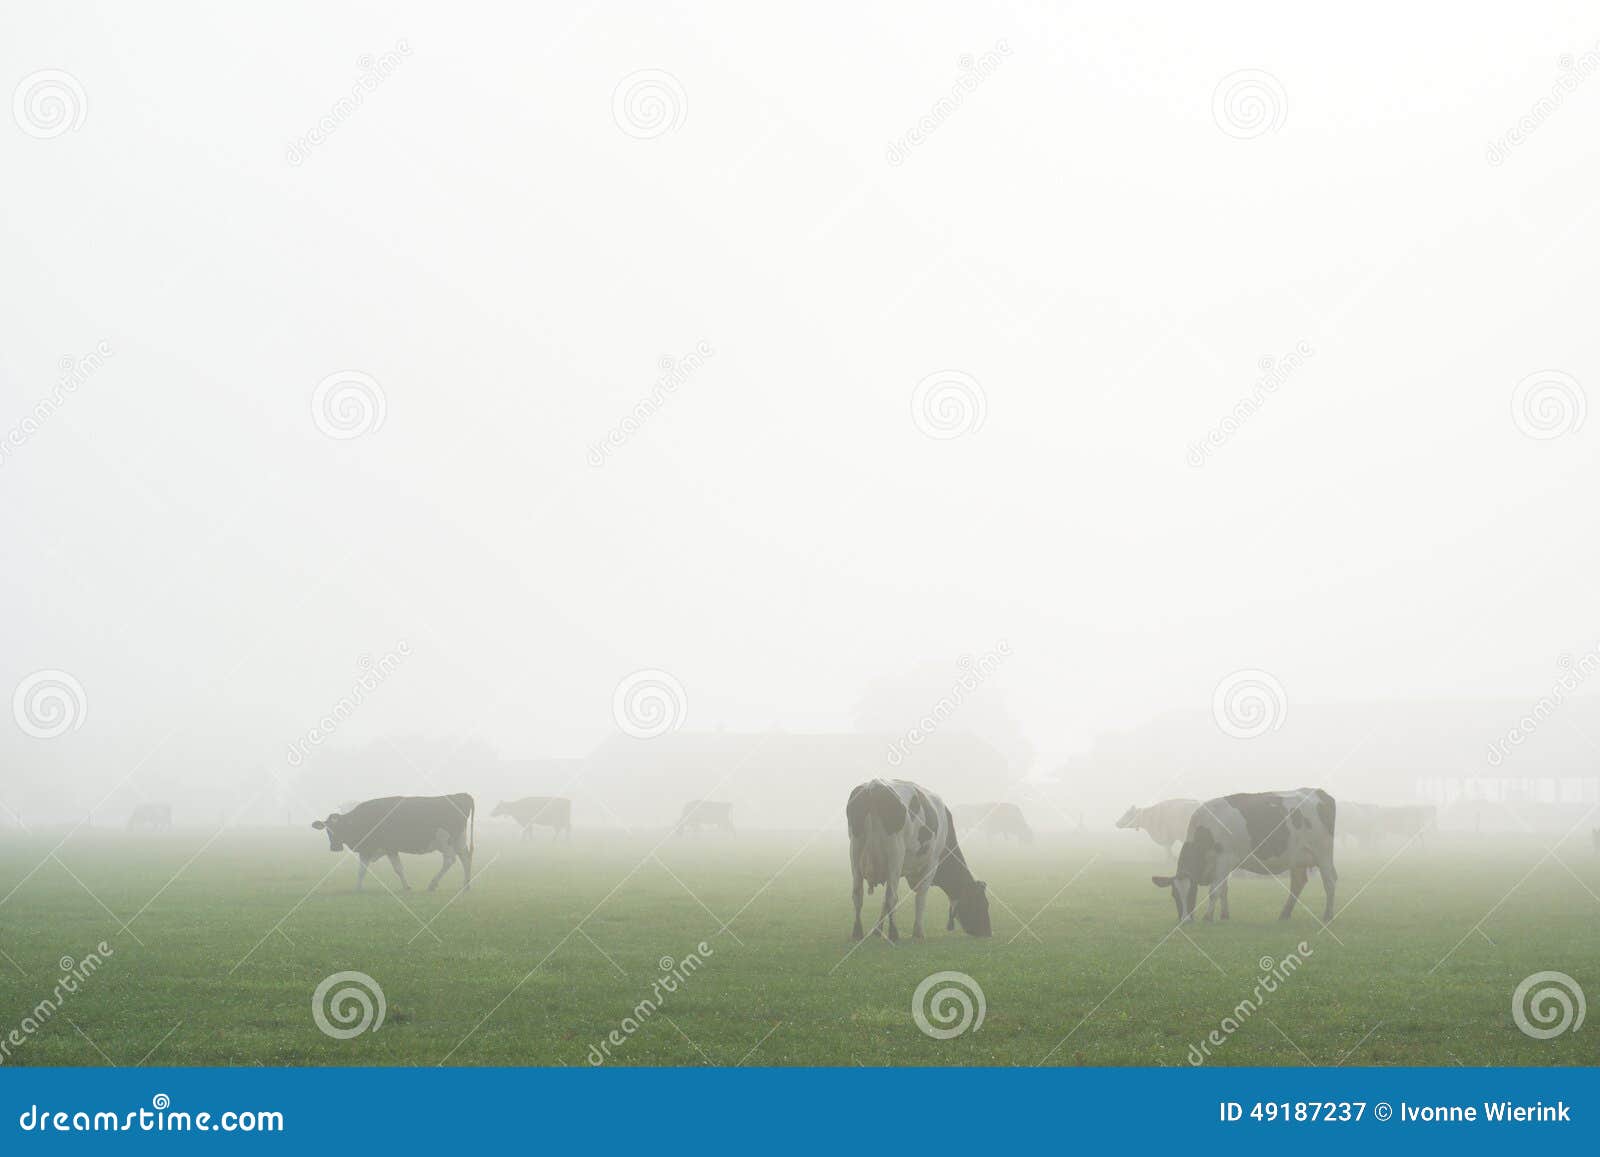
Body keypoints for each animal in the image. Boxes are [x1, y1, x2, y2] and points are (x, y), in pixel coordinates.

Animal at [311, 794, 475, 892]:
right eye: (327, 830)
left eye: (339, 828)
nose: (334, 848)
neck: (359, 819)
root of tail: (460, 795)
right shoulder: (374, 849)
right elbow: (366, 870)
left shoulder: (381, 848)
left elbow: (392, 869)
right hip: (458, 840)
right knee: (465, 858)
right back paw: (466, 885)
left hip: (444, 841)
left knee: (450, 859)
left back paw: (433, 884)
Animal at [847, 779, 991, 942]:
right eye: (982, 904)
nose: (988, 932)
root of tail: (874, 785)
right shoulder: (932, 863)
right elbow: (921, 896)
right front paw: (918, 932)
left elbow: (883, 901)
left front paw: (877, 930)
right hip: (895, 851)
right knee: (892, 897)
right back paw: (894, 934)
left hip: (855, 851)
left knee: (858, 895)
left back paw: (857, 933)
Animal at [1152, 788, 1336, 924]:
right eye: (1174, 895)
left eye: (1192, 894)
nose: (1184, 921)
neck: (1206, 830)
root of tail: (1318, 792)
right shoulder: (1223, 865)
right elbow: (1224, 889)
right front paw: (1224, 915)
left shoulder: (1224, 859)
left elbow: (1214, 890)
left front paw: (1208, 917)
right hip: (1298, 858)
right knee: (1298, 883)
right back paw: (1284, 914)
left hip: (1323, 853)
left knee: (1329, 881)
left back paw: (1327, 915)